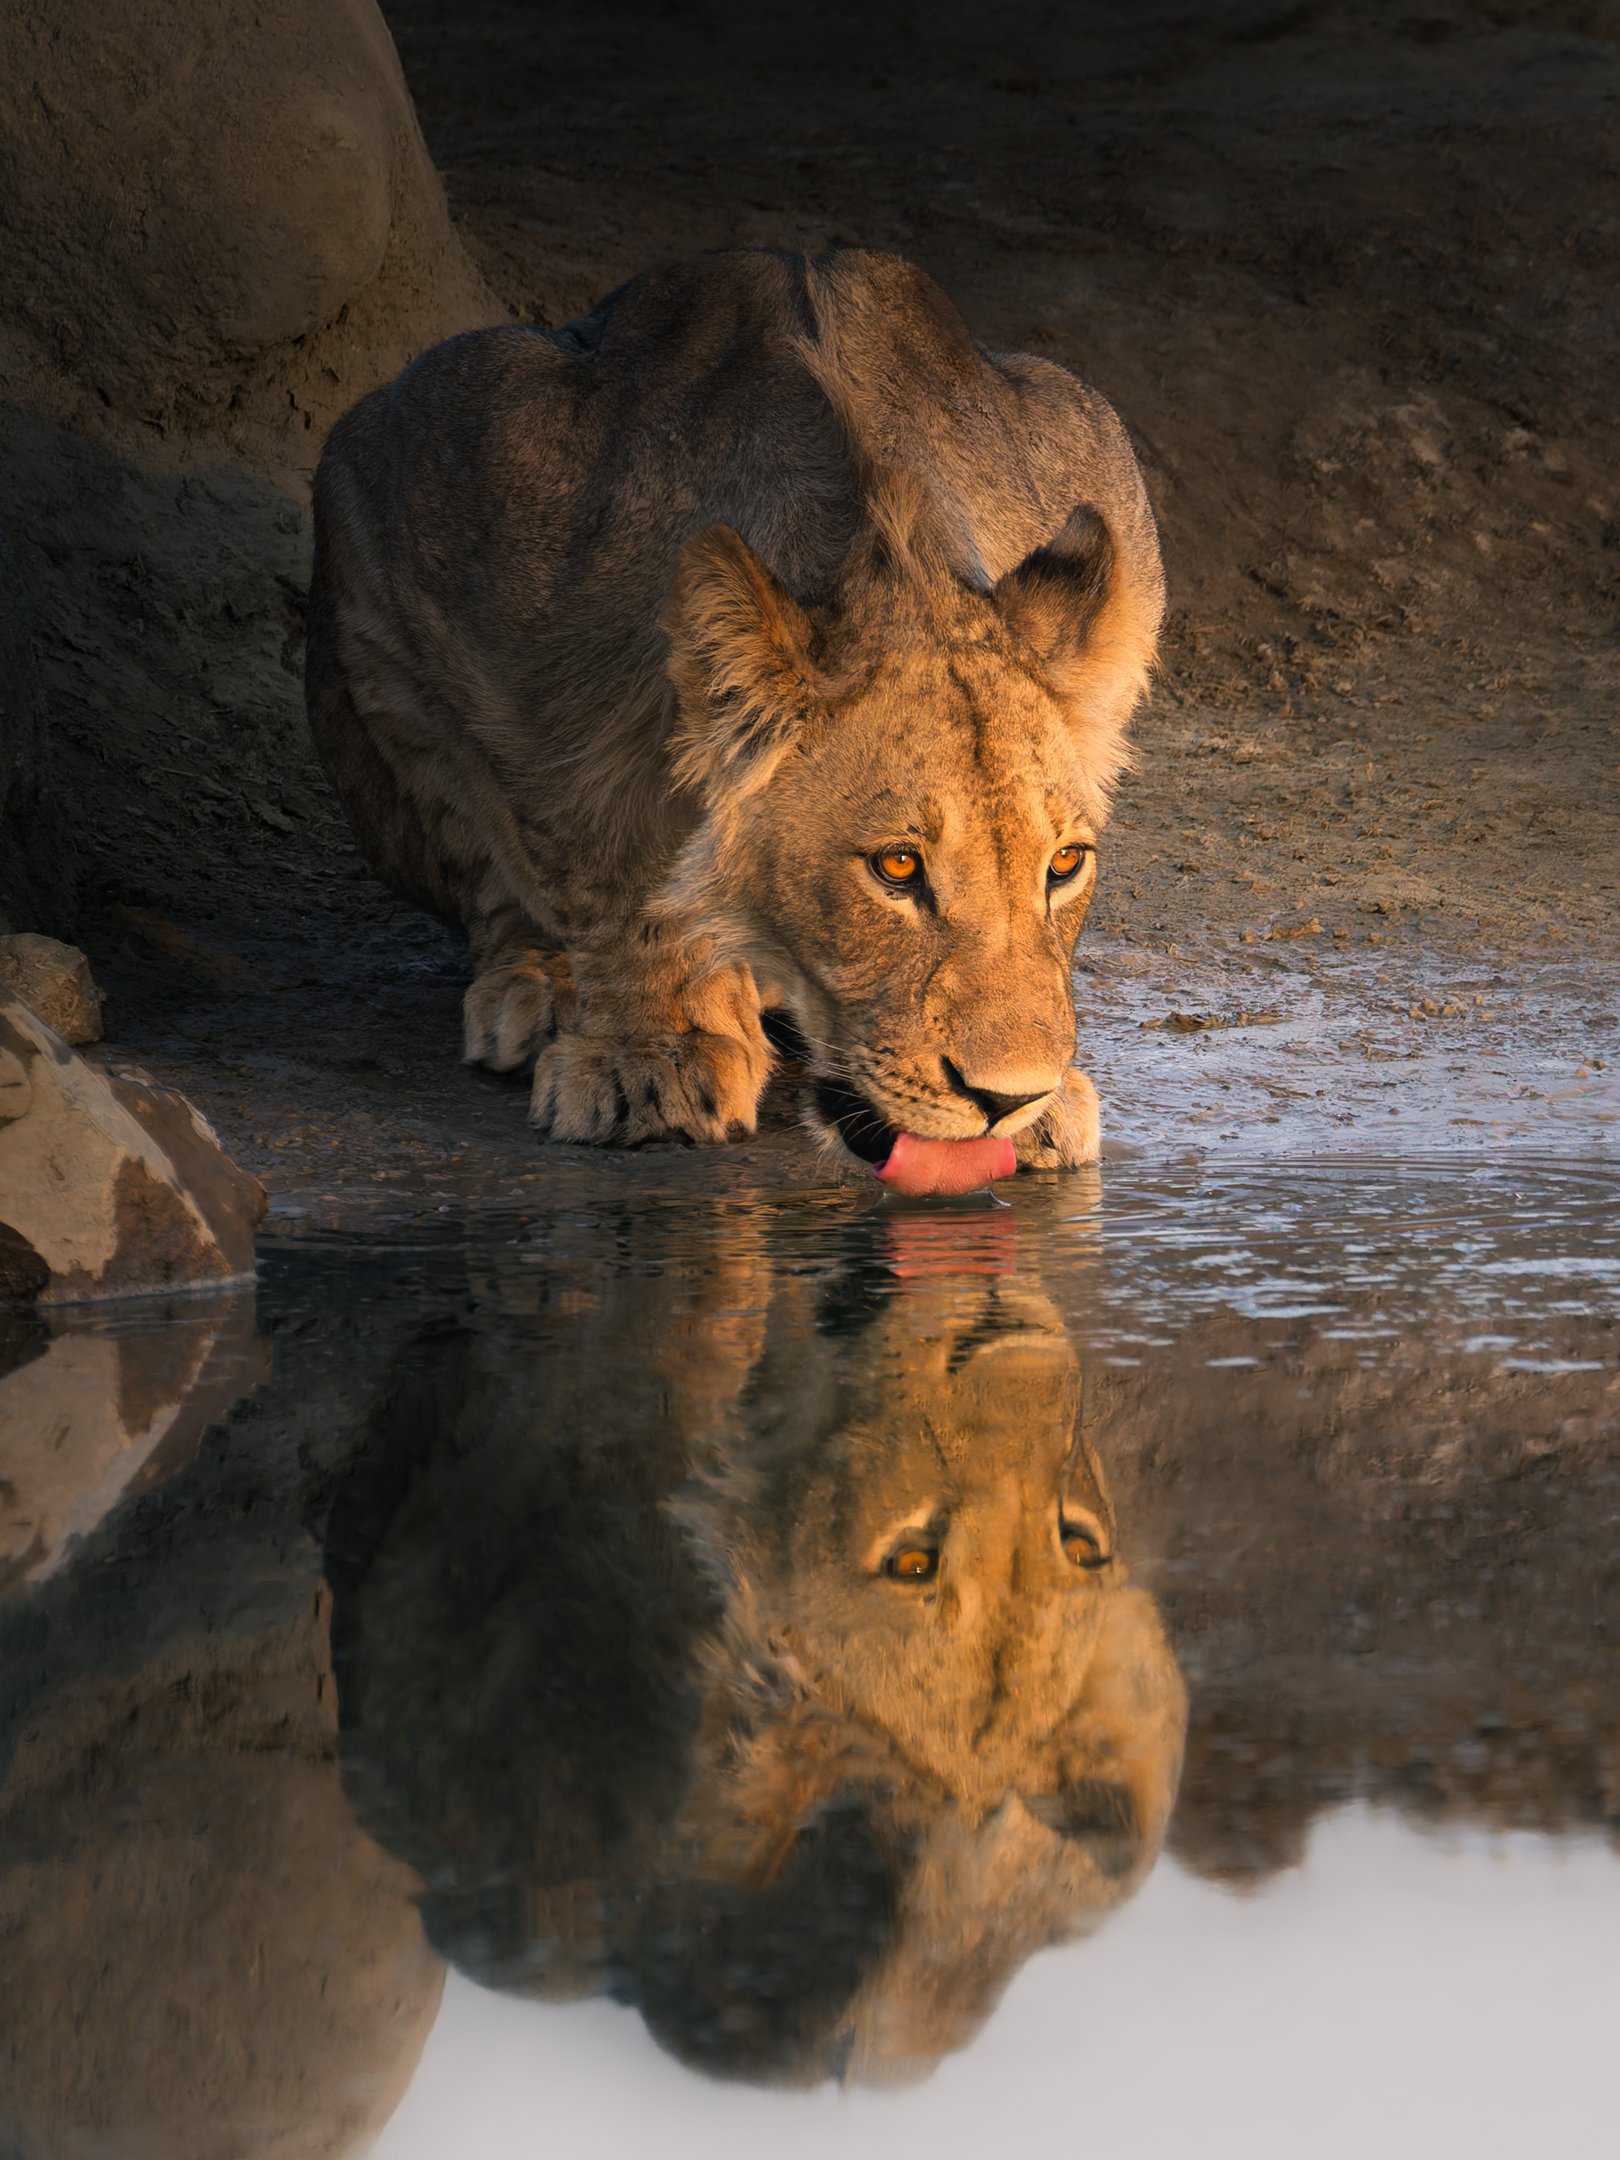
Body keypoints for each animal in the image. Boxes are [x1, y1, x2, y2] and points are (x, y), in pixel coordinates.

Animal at [307, 248, 1164, 1184]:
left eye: (1065, 865)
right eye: (897, 867)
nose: (1008, 1099)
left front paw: (1056, 1102)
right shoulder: (466, 560)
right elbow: (598, 852)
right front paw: (654, 1054)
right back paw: (538, 986)